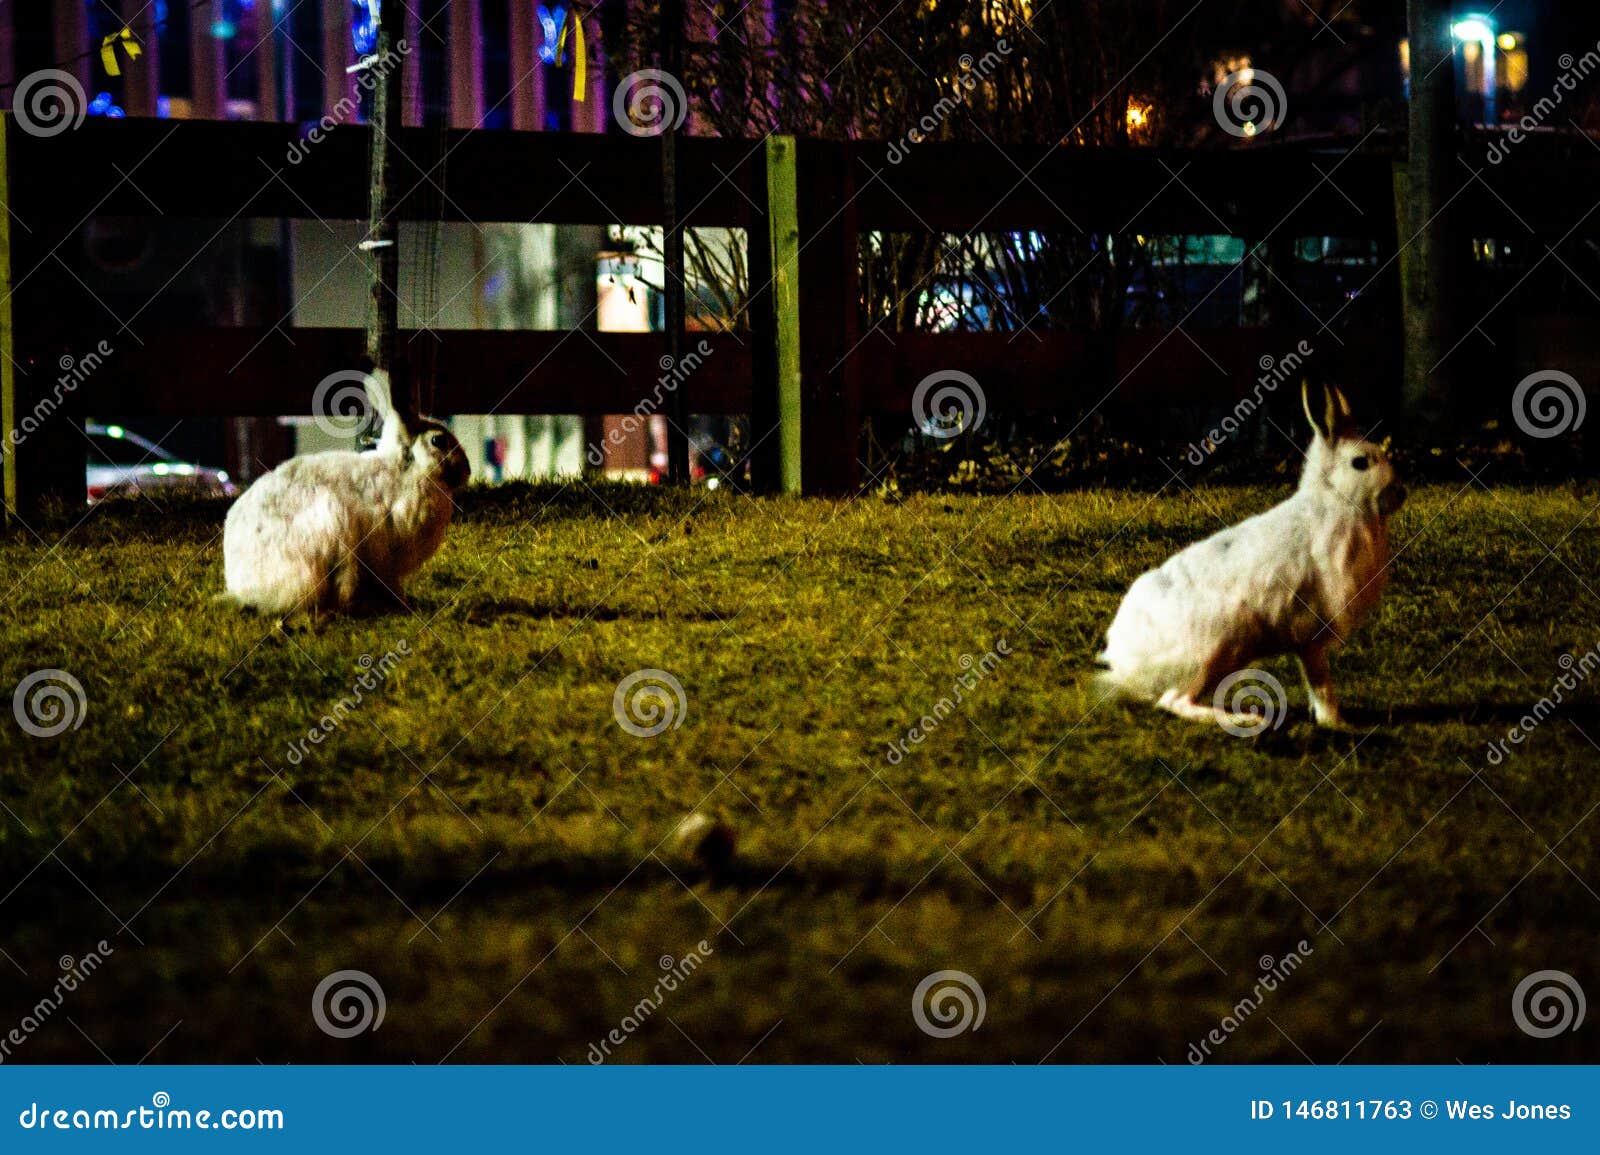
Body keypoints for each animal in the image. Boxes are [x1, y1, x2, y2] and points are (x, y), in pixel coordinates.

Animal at [223, 363, 470, 619]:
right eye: (438, 441)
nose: (467, 471)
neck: (405, 469)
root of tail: (243, 588)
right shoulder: (385, 553)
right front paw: (403, 604)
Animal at [1096, 382, 1405, 730]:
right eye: (1360, 463)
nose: (1401, 493)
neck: (1338, 502)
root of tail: (1123, 660)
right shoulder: (1311, 634)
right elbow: (1321, 683)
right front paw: (1337, 723)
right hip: (1215, 649)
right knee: (1175, 702)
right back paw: (1241, 718)